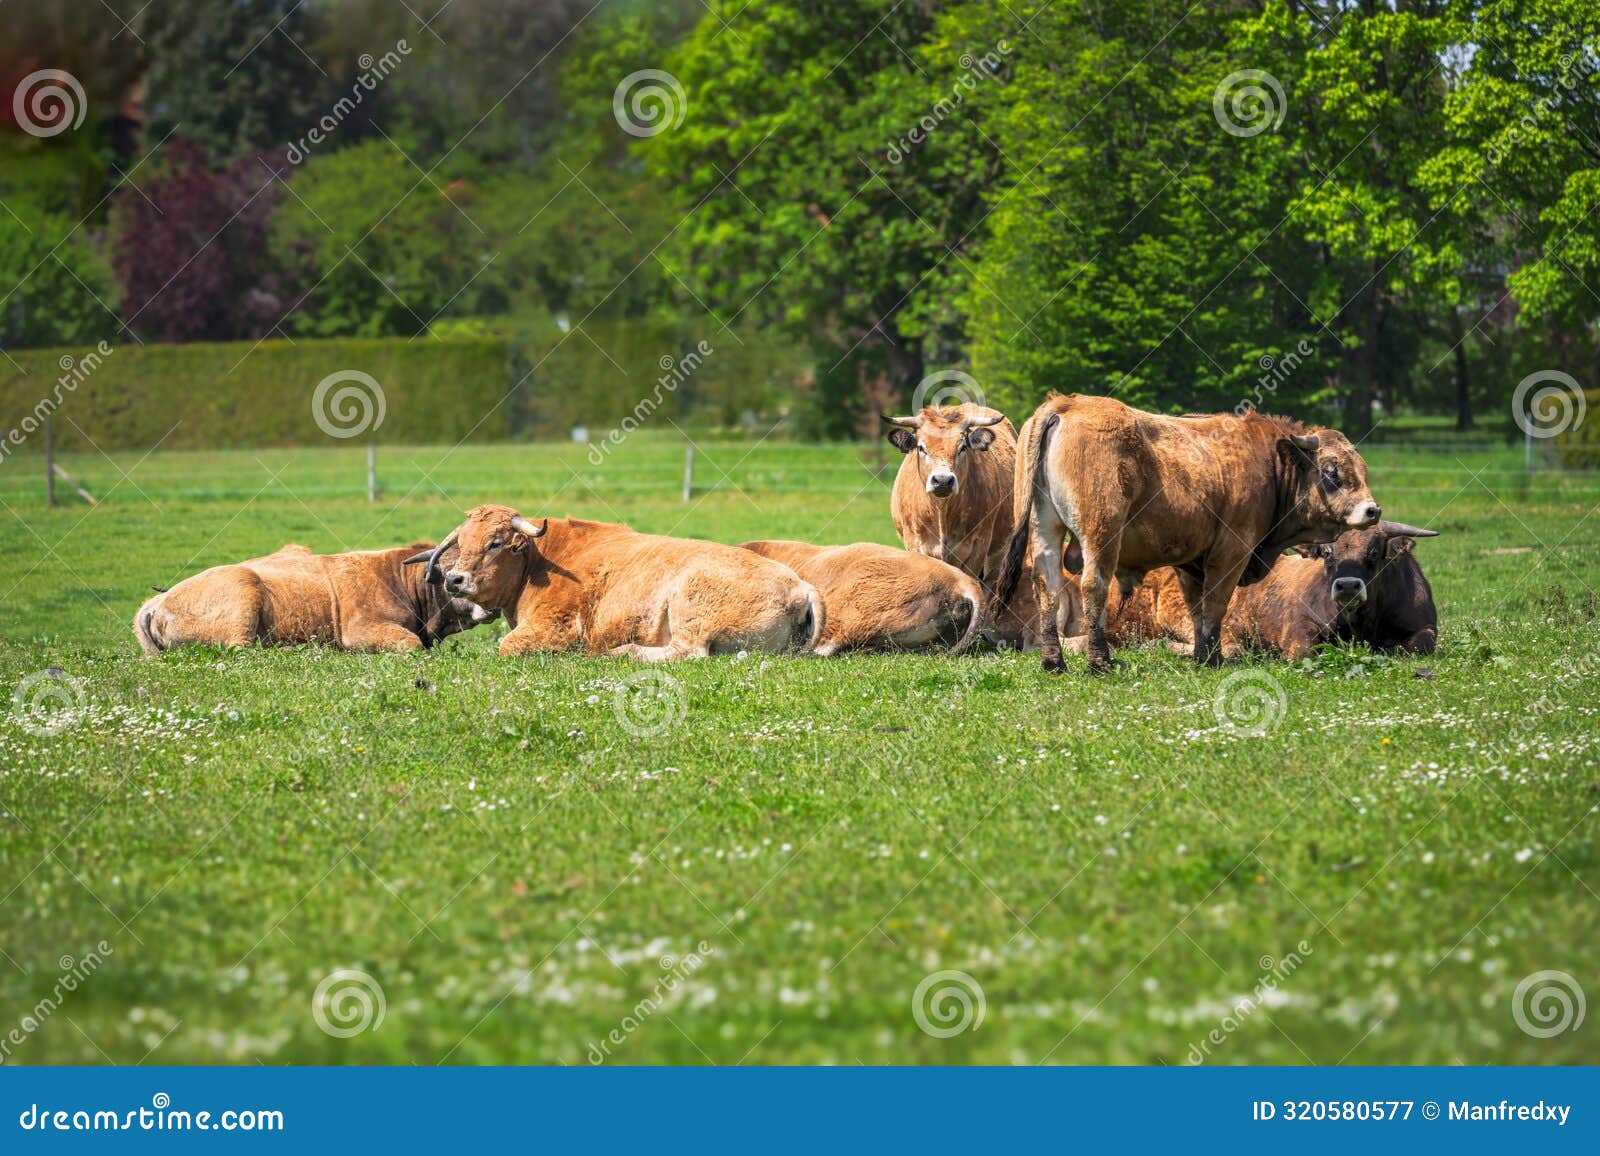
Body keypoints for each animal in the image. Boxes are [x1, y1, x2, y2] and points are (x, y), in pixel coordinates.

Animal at [413, 506, 824, 660]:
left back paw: (622, 652)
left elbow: (507, 646)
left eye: (495, 543)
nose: (454, 579)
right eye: (462, 543)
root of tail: (800, 587)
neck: (541, 560)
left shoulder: (555, 628)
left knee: (687, 653)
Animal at [997, 393, 1382, 673]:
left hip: (1045, 530)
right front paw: (1212, 658)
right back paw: (1100, 661)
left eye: (1361, 469)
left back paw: (1053, 662)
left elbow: (1196, 608)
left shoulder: (1190, 560)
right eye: (1331, 471)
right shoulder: (1231, 551)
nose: (1372, 510)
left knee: (1047, 587)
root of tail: (1067, 403)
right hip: (1100, 535)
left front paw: (1202, 654)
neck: (1269, 463)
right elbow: (1214, 605)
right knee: (1094, 586)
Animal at [1107, 523, 1440, 660]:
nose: (1347, 586)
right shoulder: (1297, 629)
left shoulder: (1425, 626)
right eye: (1327, 553)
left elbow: (1417, 645)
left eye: (1374, 552)